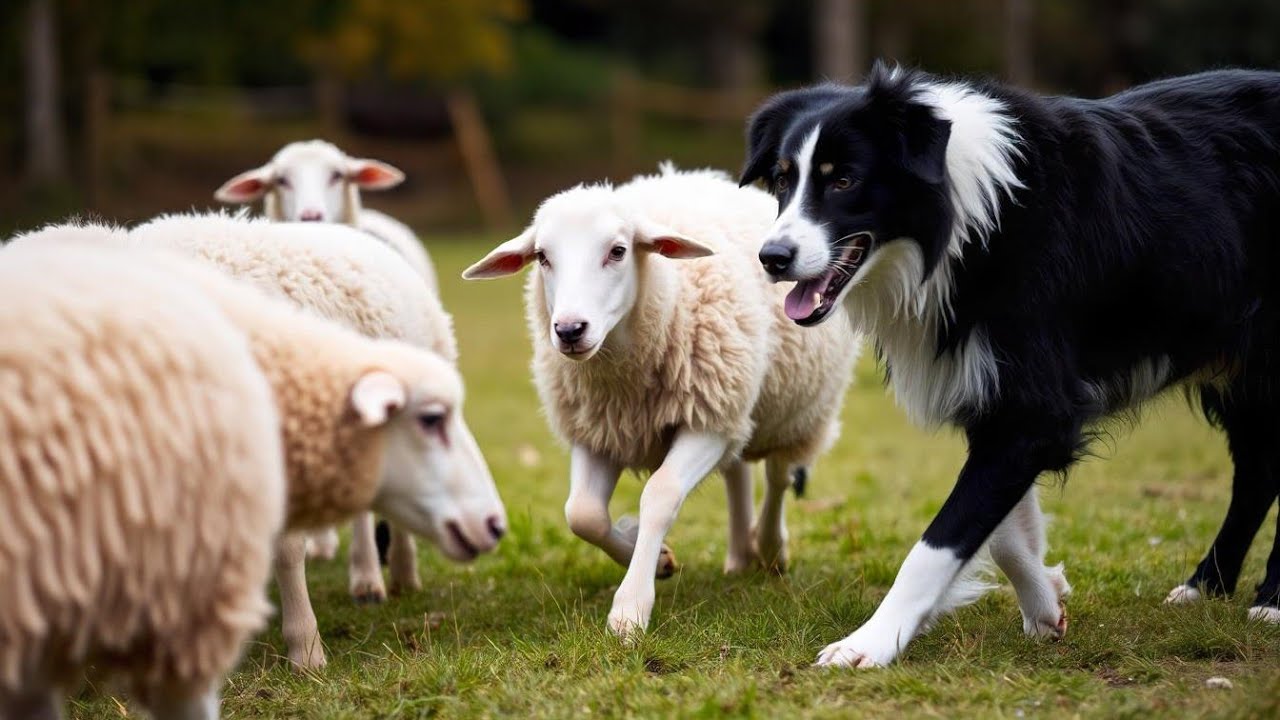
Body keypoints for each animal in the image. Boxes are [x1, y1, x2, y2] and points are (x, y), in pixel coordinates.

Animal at [463, 164, 861, 636]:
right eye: (543, 257)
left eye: (618, 251)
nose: (570, 330)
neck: (625, 383)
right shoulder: (596, 430)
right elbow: (583, 514)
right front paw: (657, 560)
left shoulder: (705, 422)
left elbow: (661, 495)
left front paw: (630, 609)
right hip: (736, 406)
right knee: (738, 474)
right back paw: (739, 555)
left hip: (794, 410)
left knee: (780, 476)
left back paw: (768, 549)